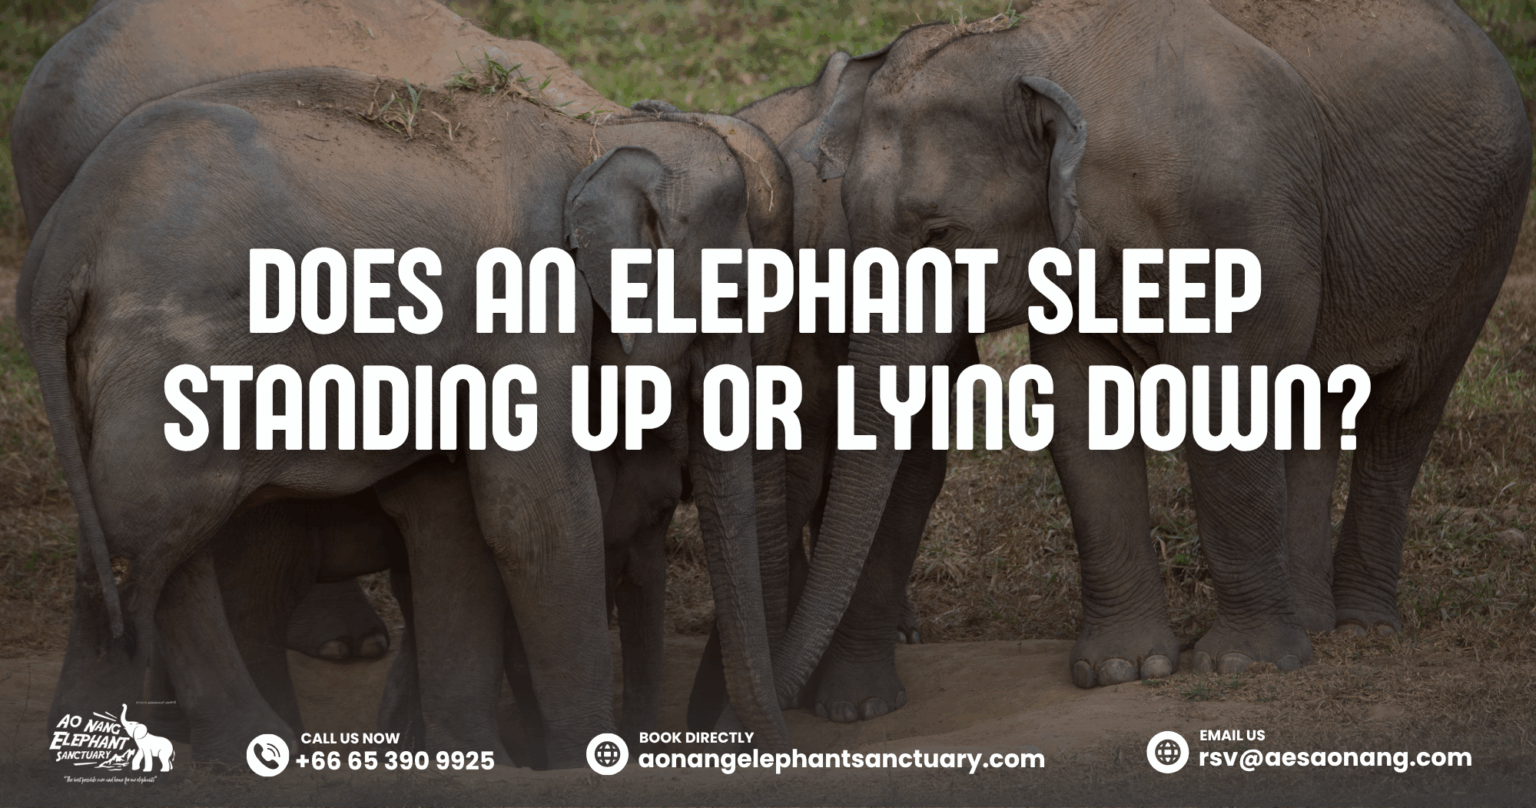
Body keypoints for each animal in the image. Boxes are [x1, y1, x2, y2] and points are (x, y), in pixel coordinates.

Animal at [23, 66, 784, 765]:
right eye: (735, 295)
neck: (590, 135)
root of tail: (65, 237)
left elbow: (452, 514)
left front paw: (474, 762)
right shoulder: (528, 306)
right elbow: (534, 517)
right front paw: (583, 763)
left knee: (148, 540)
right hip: (176, 357)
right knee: (149, 536)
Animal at [767, 0, 1530, 699]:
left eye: (940, 234)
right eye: (848, 220)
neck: (1031, 47)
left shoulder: (1238, 218)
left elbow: (1228, 406)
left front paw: (1240, 665)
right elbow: (1083, 415)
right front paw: (1121, 671)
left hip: (1486, 231)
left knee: (1404, 412)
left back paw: (1362, 626)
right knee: (1311, 402)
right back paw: (1313, 623)